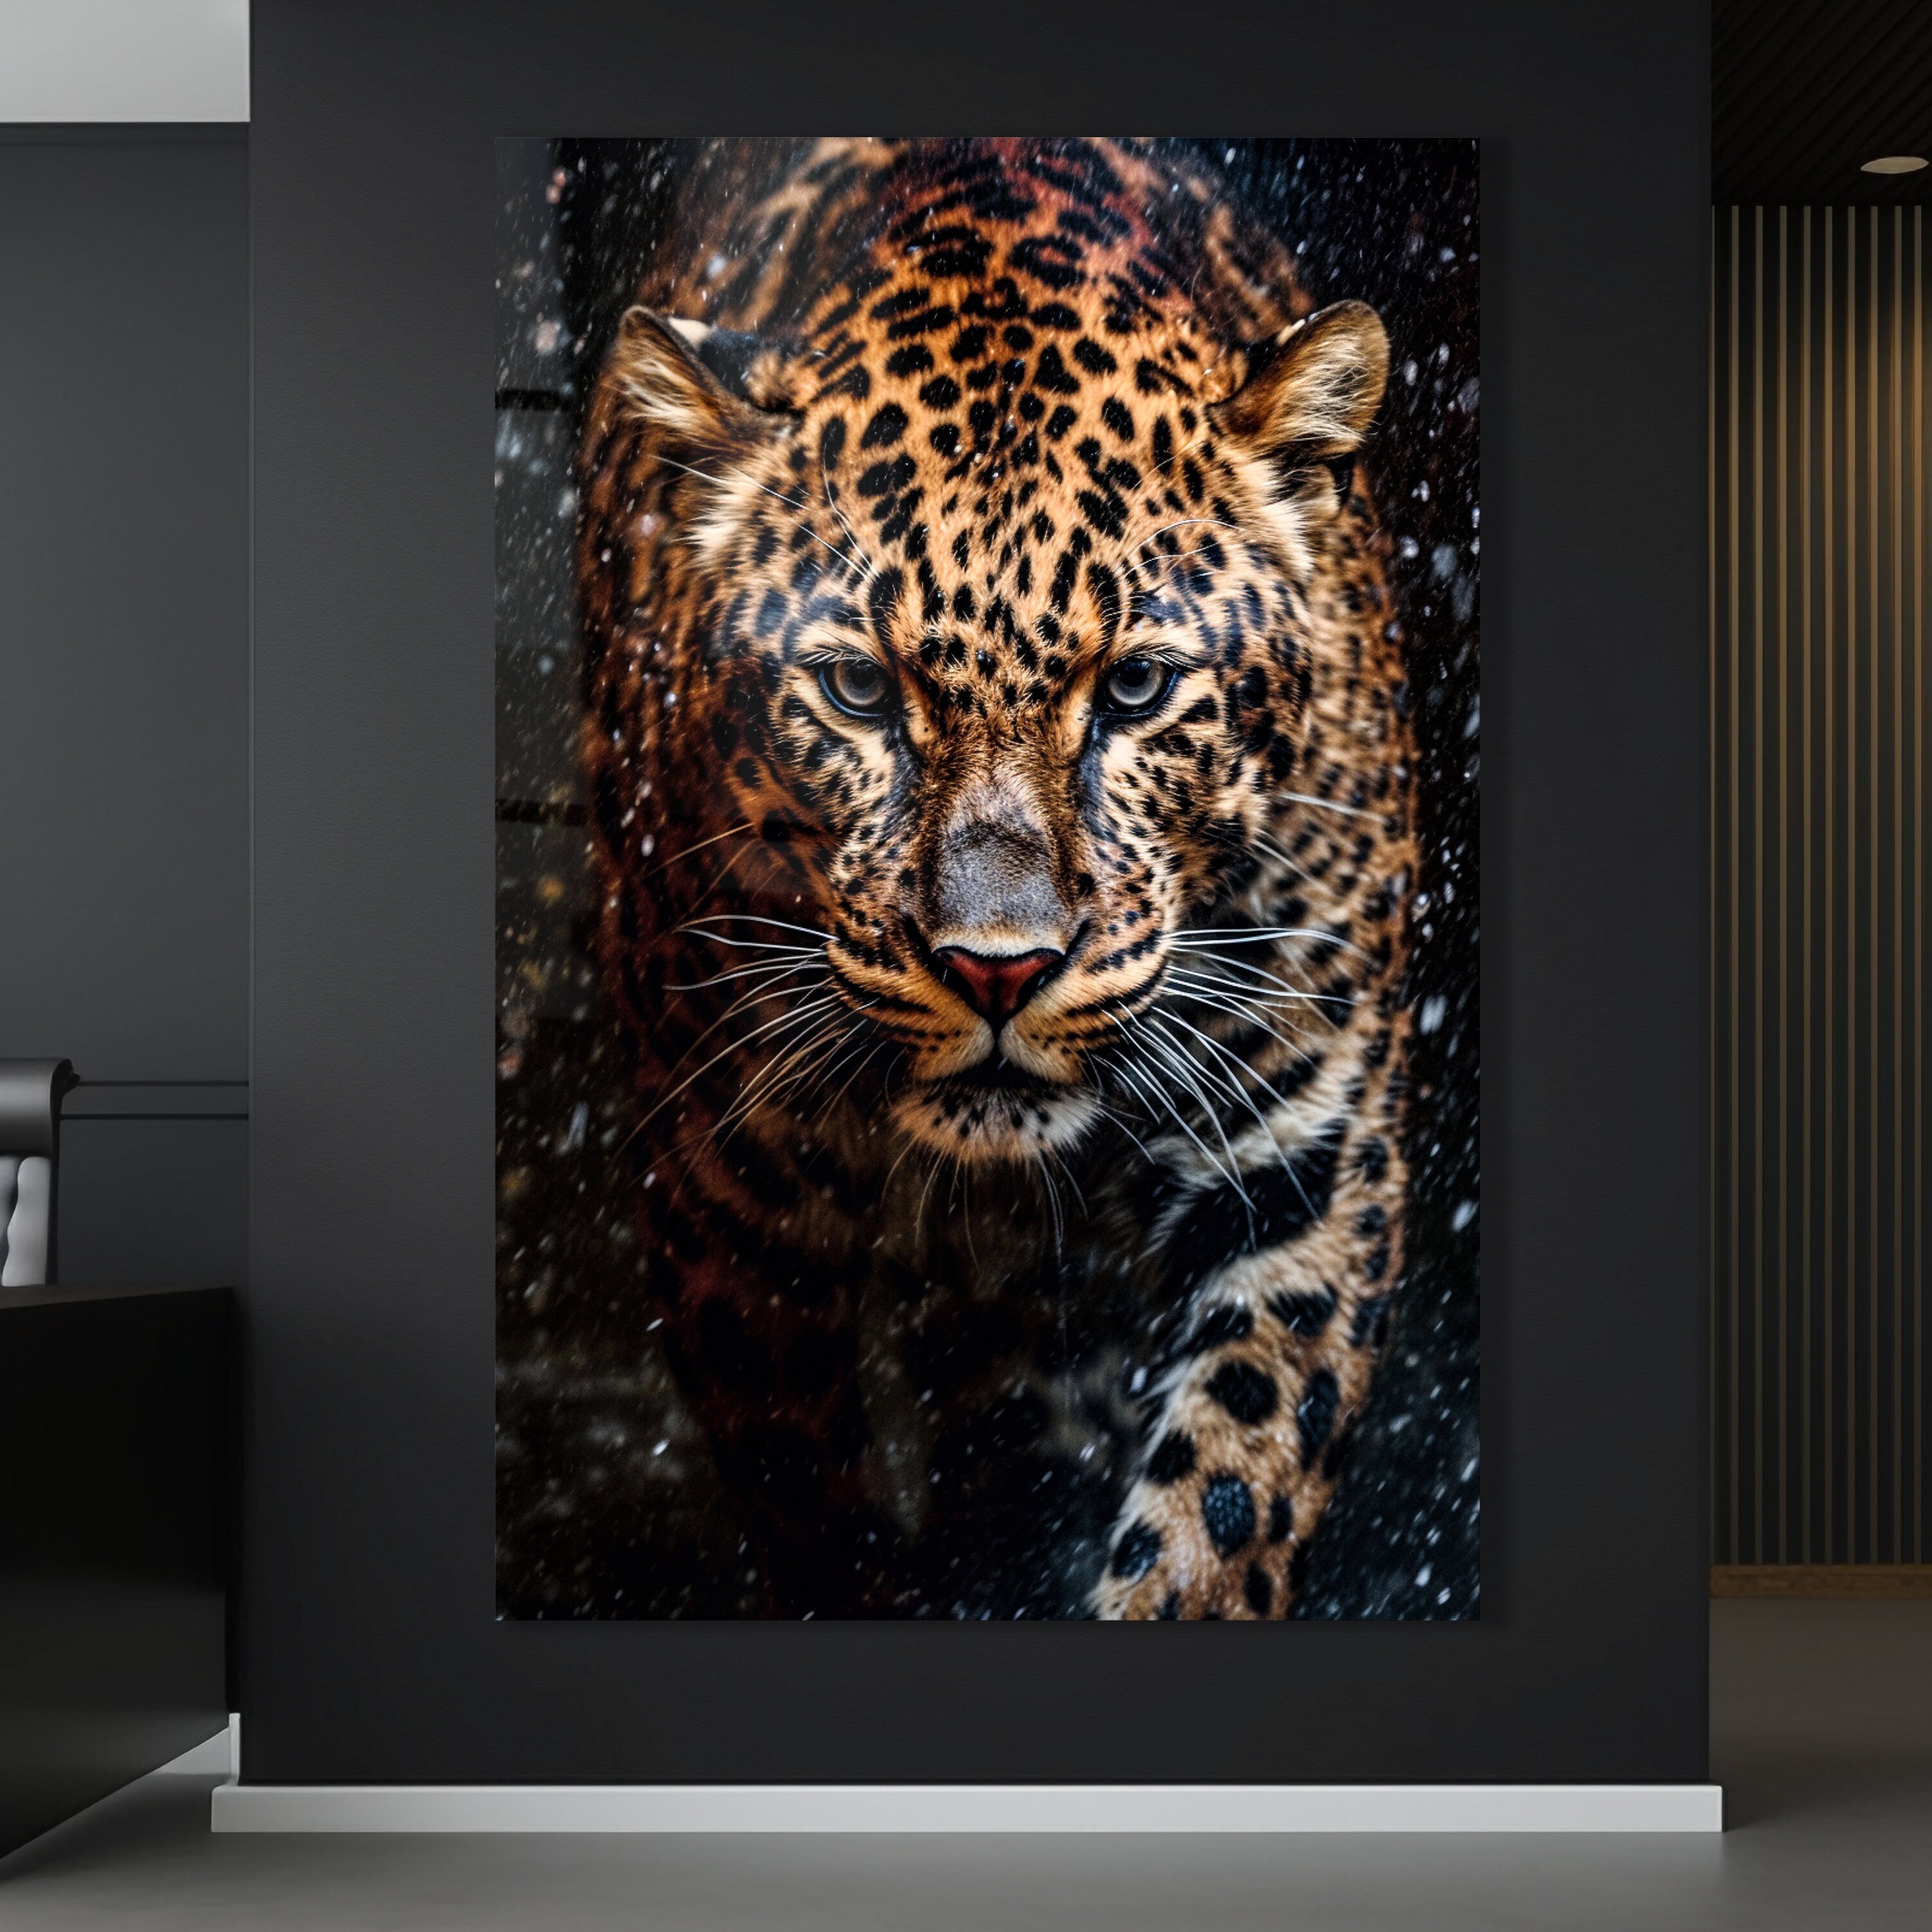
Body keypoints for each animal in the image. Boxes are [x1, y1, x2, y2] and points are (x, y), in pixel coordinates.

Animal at [572, 136, 1417, 1619]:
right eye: (857, 690)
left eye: (1136, 688)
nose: (997, 971)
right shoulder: (726, 1185)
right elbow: (806, 1499)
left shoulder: (1312, 1155)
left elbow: (1227, 1502)